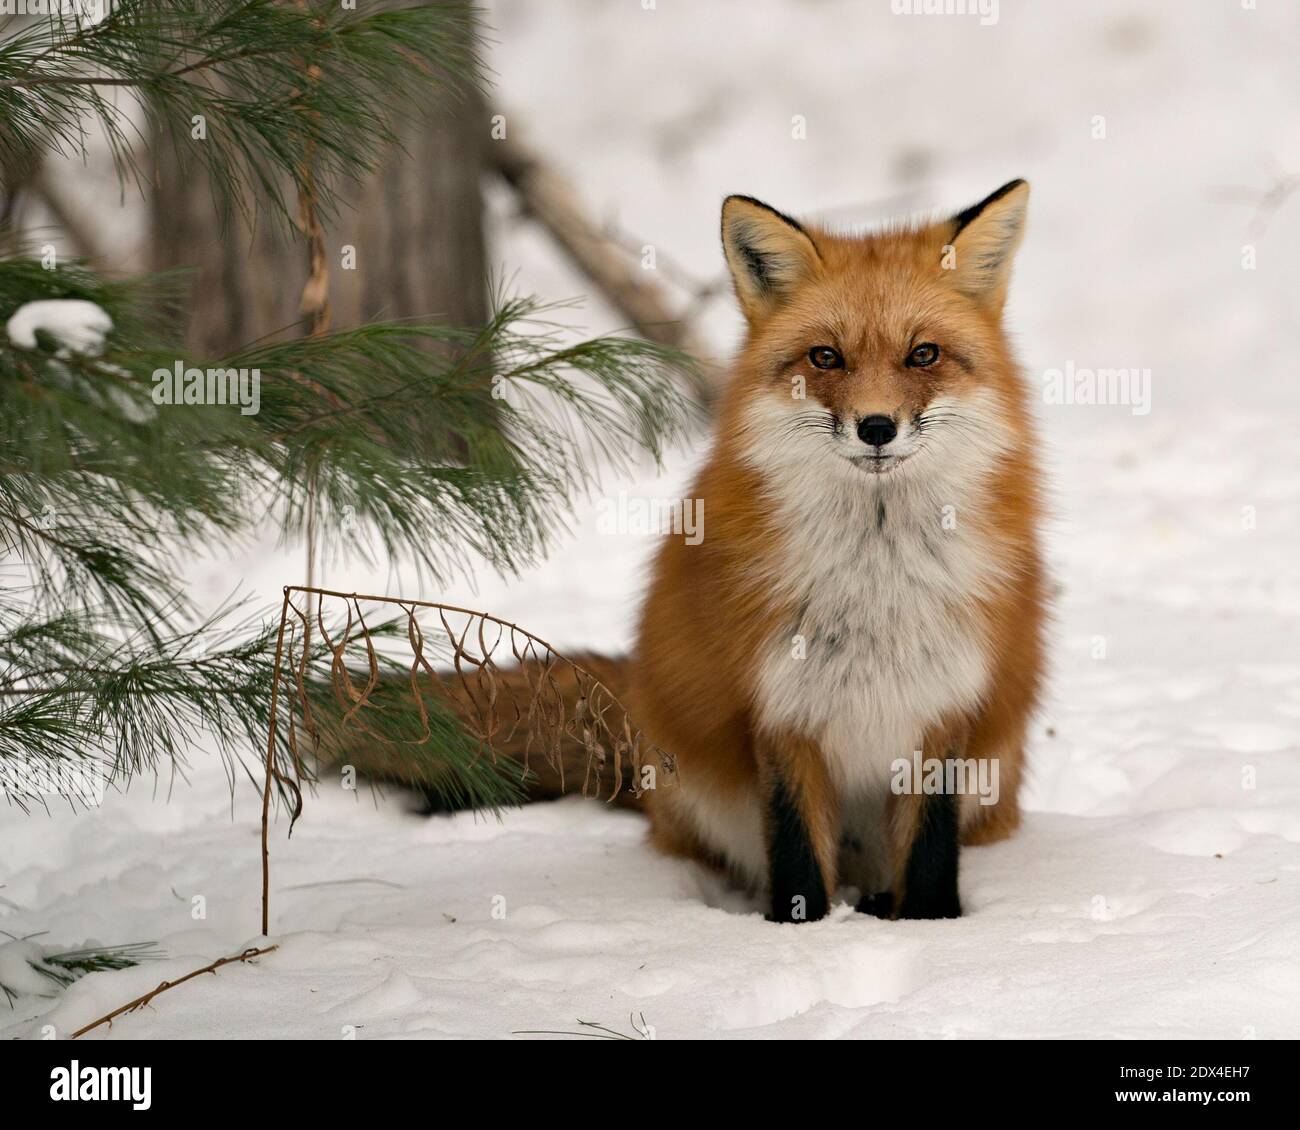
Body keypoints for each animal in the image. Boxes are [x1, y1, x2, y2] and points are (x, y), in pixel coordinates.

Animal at [335, 180, 1045, 924]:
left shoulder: (945, 708)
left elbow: (932, 853)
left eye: (924, 355)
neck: (875, 578)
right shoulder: (779, 707)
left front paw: (933, 928)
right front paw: (799, 933)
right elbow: (796, 856)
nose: (876, 427)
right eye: (825, 357)